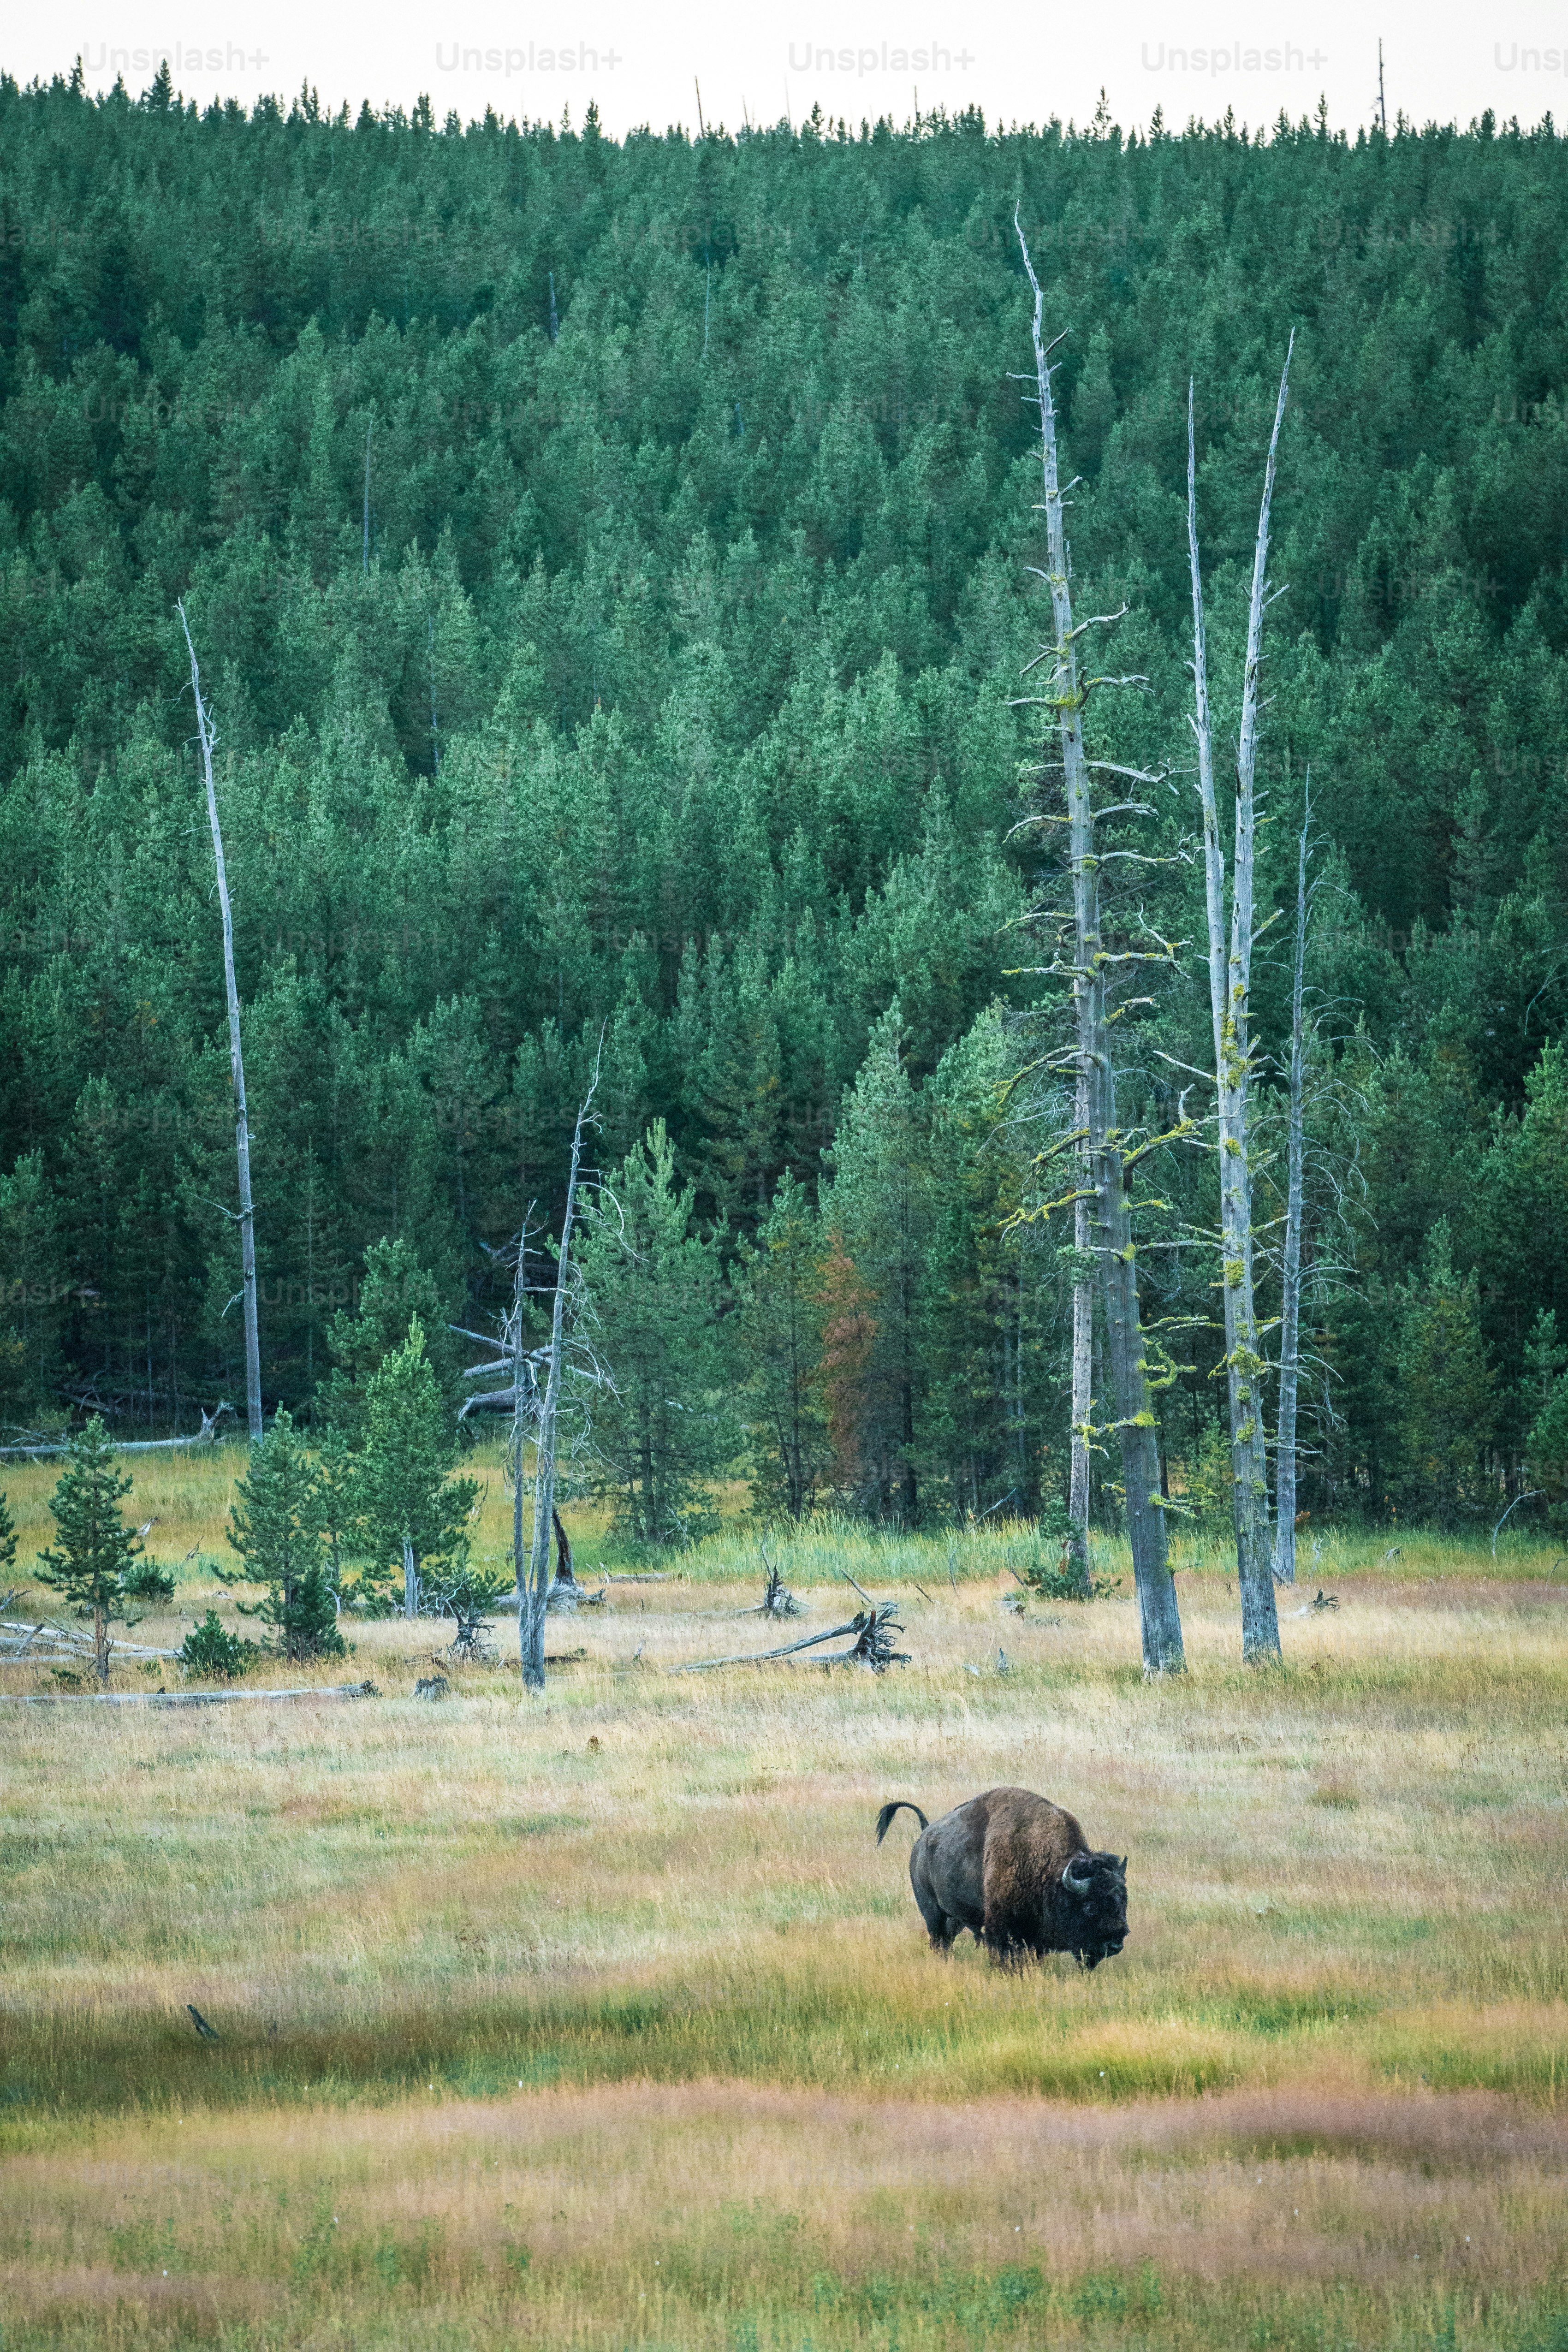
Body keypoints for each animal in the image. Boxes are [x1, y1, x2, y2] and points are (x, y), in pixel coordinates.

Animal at [876, 1786, 1128, 1969]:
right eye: (1090, 1907)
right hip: (933, 1912)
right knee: (938, 1940)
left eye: (1123, 1902)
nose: (1116, 1944)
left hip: (954, 1918)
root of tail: (923, 1837)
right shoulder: (1001, 1929)